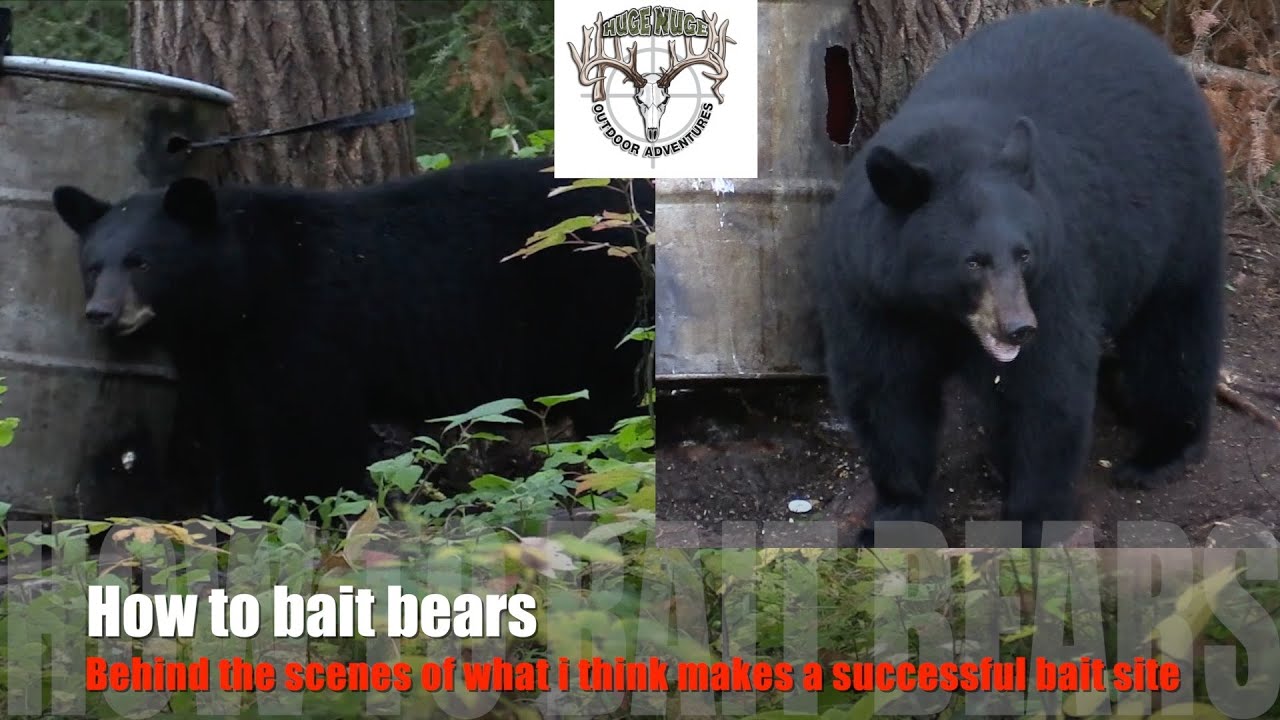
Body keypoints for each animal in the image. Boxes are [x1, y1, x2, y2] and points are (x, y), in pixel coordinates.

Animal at [51, 158, 653, 519]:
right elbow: (234, 435)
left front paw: (313, 512)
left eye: (141, 261)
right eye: (93, 265)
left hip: (605, 313)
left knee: (618, 409)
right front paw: (242, 511)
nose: (101, 313)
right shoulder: (223, 363)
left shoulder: (309, 331)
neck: (242, 293)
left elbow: (312, 435)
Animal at [809, 6, 1225, 548]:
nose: (1018, 328)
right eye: (972, 261)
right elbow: (886, 390)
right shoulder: (869, 292)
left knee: (1175, 331)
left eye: (1024, 254)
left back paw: (1162, 452)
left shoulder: (1055, 278)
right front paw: (895, 516)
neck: (937, 311)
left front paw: (1032, 518)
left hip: (1181, 216)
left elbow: (1045, 390)